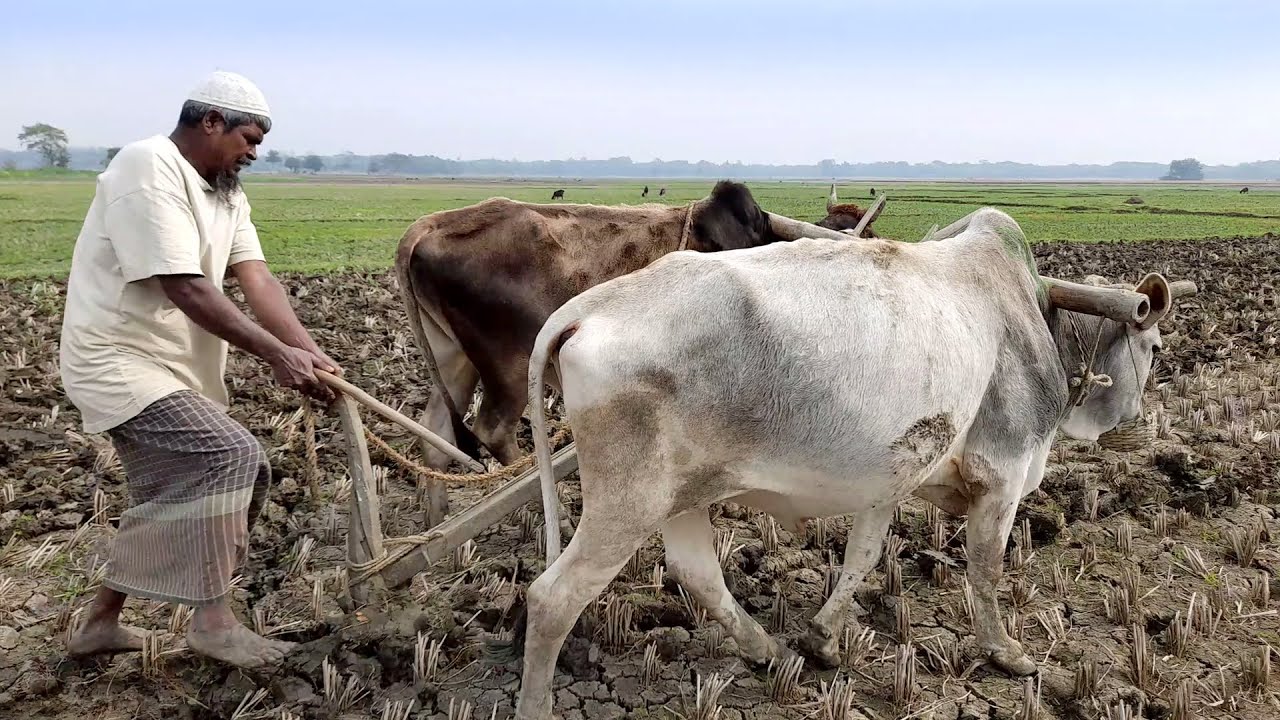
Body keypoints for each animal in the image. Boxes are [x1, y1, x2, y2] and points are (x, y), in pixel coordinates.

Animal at [496, 207, 1197, 719]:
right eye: (1156, 346)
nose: (1135, 421)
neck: (1028, 310)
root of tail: (584, 310)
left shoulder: (889, 480)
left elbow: (863, 556)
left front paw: (822, 638)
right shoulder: (1002, 476)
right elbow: (986, 571)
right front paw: (1007, 654)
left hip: (682, 494)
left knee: (696, 571)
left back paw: (768, 650)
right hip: (627, 503)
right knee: (553, 598)